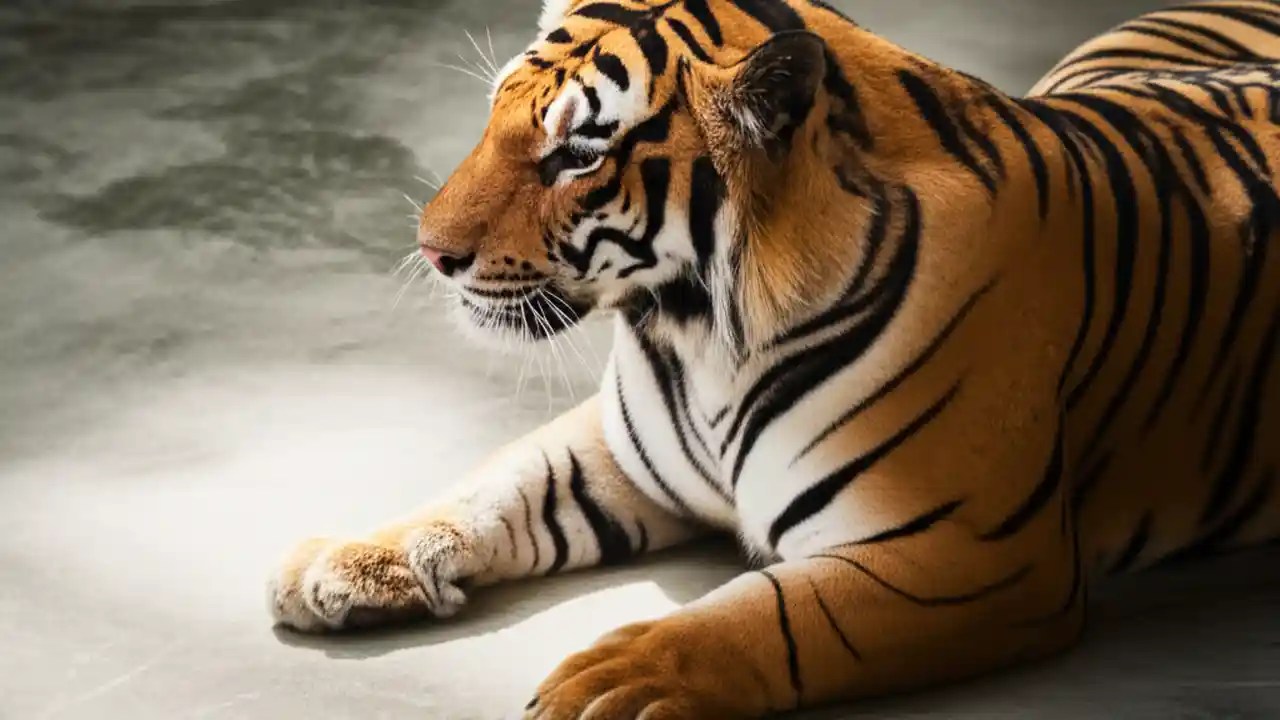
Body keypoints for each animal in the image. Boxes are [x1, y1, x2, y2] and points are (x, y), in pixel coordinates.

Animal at [269, 0, 1280, 717]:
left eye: (579, 154)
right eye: (495, 119)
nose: (430, 251)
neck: (698, 332)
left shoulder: (971, 554)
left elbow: (775, 613)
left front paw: (613, 678)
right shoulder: (622, 452)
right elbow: (496, 484)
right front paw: (350, 562)